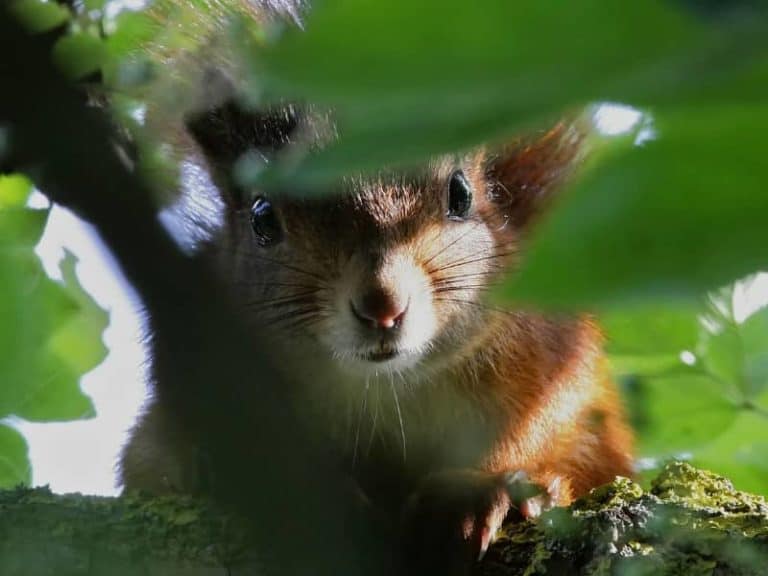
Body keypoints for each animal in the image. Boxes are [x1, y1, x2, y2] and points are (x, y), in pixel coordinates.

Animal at [117, 1, 633, 572]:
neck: (384, 392)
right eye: (261, 217)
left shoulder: (552, 353)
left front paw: (483, 491)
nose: (382, 305)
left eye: (461, 193)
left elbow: (548, 421)